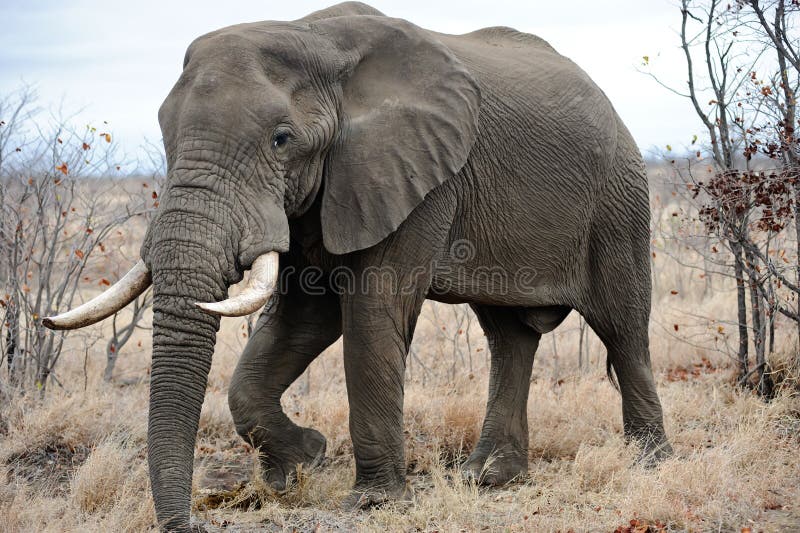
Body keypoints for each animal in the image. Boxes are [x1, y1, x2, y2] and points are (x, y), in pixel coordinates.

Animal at [44, 2, 672, 530]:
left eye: (281, 139)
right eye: (166, 137)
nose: (189, 523)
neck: (313, 39)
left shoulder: (416, 176)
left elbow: (370, 312)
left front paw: (371, 502)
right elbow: (304, 318)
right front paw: (302, 463)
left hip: (619, 198)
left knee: (622, 329)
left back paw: (648, 463)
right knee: (508, 335)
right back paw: (489, 478)